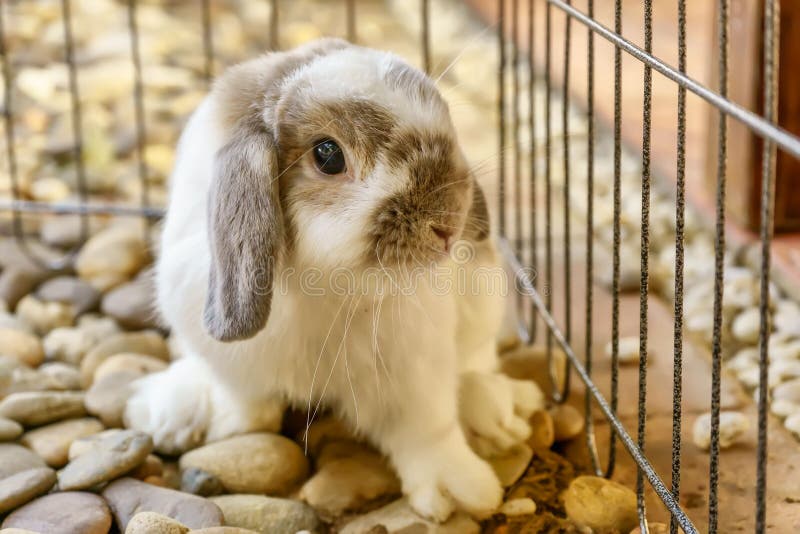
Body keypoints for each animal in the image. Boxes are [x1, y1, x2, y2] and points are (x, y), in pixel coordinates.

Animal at [124, 38, 542, 521]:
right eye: (327, 155)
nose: (449, 225)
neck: (321, 283)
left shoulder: (415, 376)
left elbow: (428, 431)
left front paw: (459, 492)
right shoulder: (234, 363)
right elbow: (248, 406)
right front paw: (227, 421)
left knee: (476, 365)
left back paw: (500, 416)